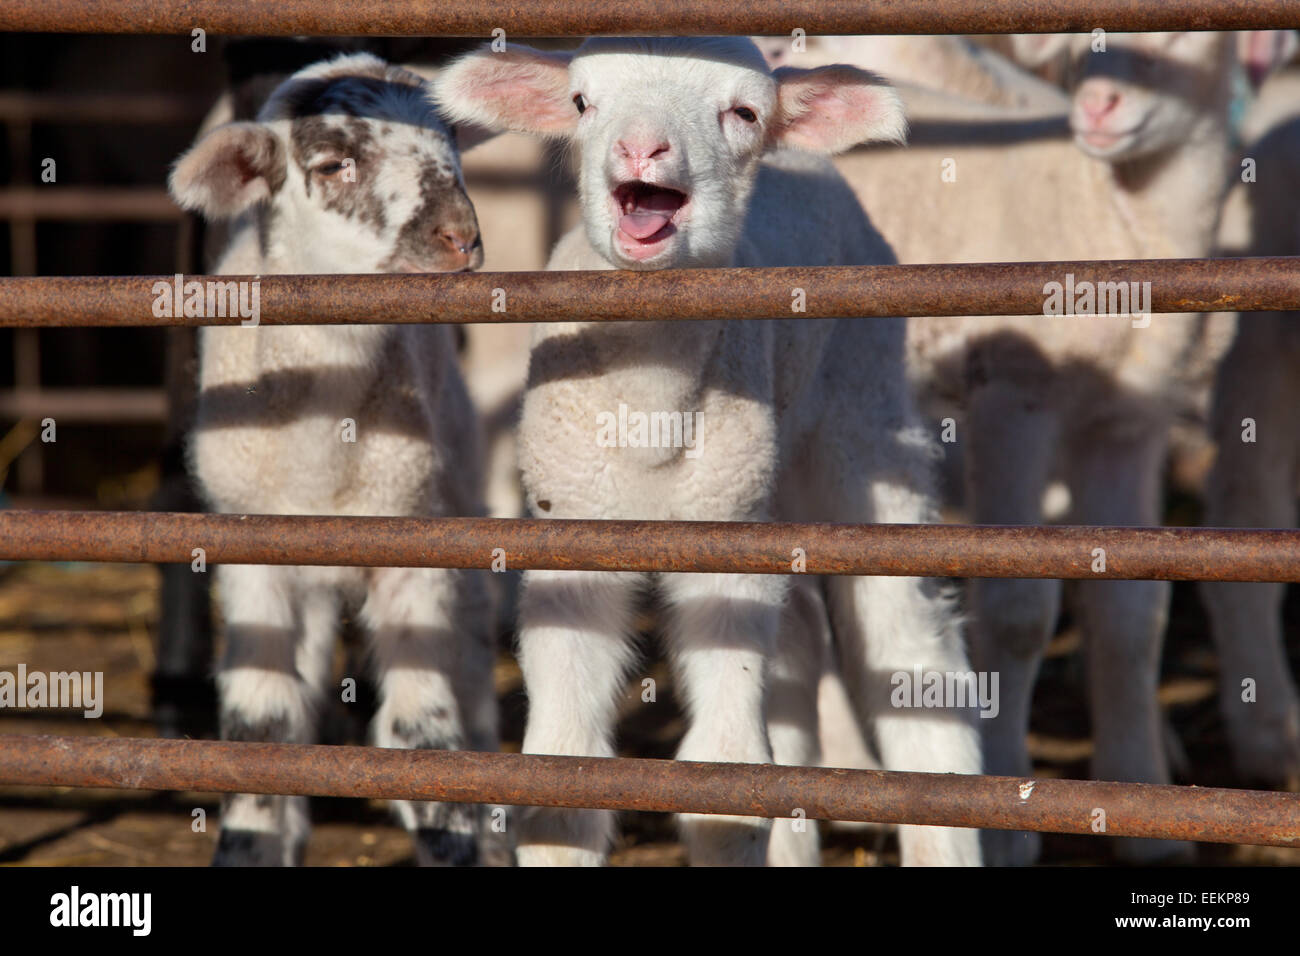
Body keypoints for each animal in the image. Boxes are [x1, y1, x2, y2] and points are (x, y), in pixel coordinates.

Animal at [167, 52, 498, 866]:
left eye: (452, 143)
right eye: (333, 165)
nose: (461, 237)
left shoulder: (414, 537)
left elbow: (423, 732)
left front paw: (455, 837)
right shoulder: (250, 554)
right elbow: (262, 725)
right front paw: (250, 842)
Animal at [436, 36, 983, 867]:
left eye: (744, 112)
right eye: (582, 102)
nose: (640, 148)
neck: (650, 424)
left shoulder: (722, 543)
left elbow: (725, 777)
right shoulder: (571, 542)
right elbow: (564, 778)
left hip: (860, 417)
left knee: (910, 648)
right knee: (797, 652)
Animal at [833, 31, 1253, 865]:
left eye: (1186, 37)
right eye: (1085, 44)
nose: (1096, 107)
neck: (1116, 217)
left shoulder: (1128, 425)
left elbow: (1132, 615)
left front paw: (1145, 805)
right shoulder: (1012, 400)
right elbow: (1018, 613)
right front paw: (1003, 816)